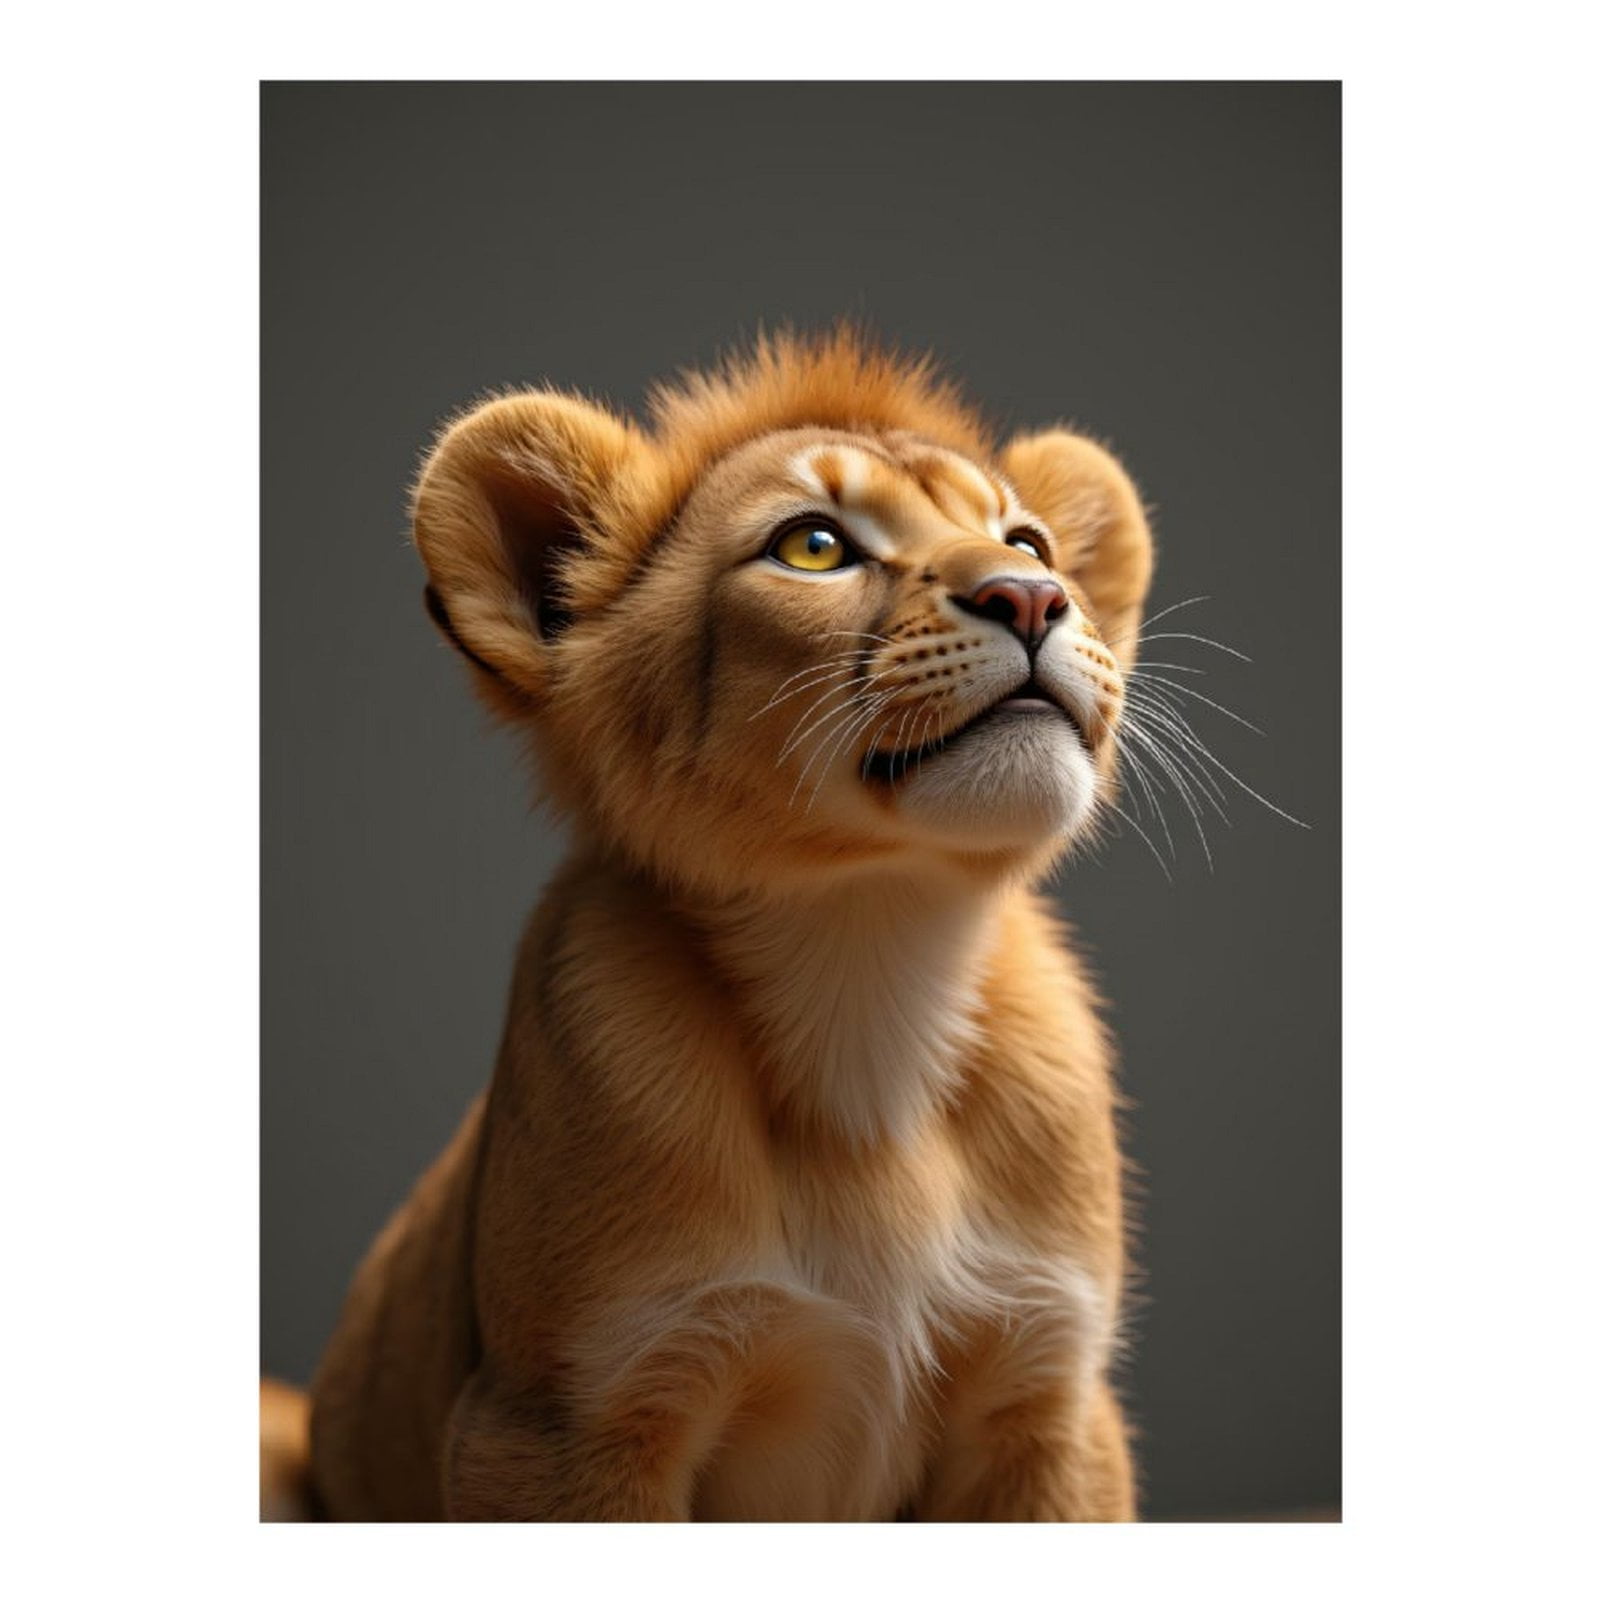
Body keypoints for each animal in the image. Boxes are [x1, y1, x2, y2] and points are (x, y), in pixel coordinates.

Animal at [264, 327, 1155, 1520]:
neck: (871, 952)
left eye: (1028, 540)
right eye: (814, 546)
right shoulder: (565, 1419)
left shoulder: (1046, 1398)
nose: (1032, 597)